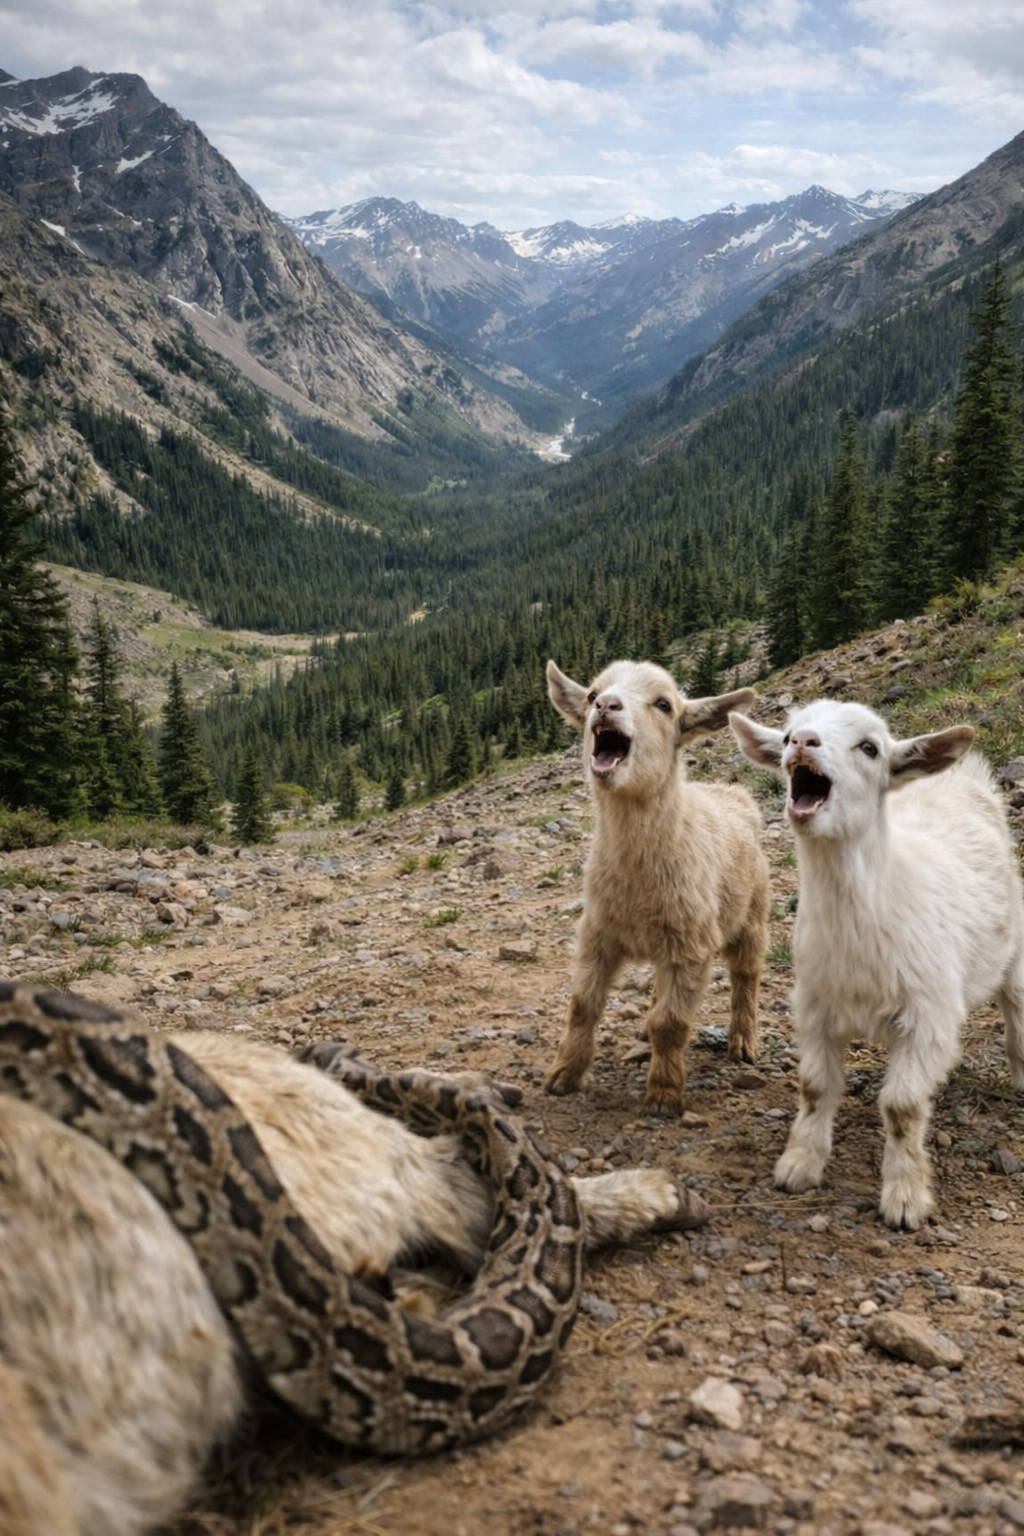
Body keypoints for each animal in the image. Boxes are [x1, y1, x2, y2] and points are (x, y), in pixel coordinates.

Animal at [545, 659, 770, 1116]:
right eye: (592, 694)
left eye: (664, 704)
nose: (607, 706)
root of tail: (733, 794)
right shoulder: (597, 934)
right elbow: (582, 1007)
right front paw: (564, 1073)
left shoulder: (691, 946)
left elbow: (672, 1023)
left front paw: (664, 1094)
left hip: (752, 915)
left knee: (746, 974)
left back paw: (743, 1041)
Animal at [730, 698, 1024, 1230]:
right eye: (784, 737)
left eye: (869, 748)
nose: (803, 741)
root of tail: (962, 778)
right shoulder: (816, 1007)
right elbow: (814, 1087)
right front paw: (799, 1165)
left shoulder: (927, 1017)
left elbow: (902, 1108)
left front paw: (905, 1197)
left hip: (1012, 952)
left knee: (1016, 1017)